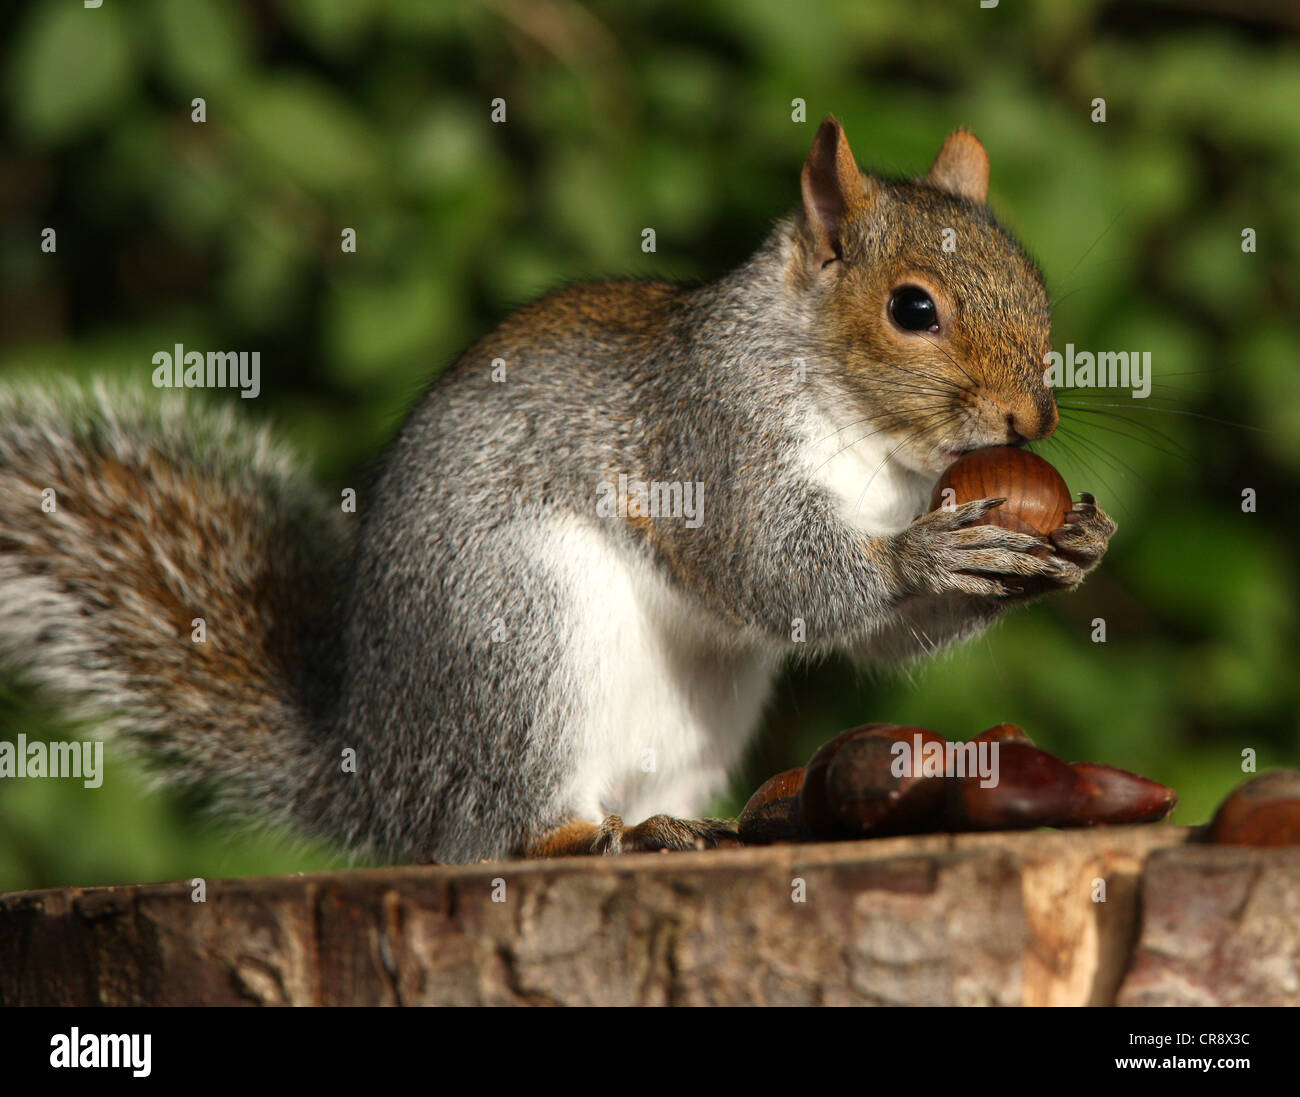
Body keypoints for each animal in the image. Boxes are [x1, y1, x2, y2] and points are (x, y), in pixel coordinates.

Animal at [0, 118, 1114, 864]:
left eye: (1035, 287)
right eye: (912, 309)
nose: (1033, 420)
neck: (874, 440)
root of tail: (380, 777)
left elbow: (881, 636)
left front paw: (1071, 547)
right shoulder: (707, 437)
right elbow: (773, 570)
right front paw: (929, 554)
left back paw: (683, 824)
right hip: (521, 635)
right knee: (499, 831)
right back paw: (590, 837)